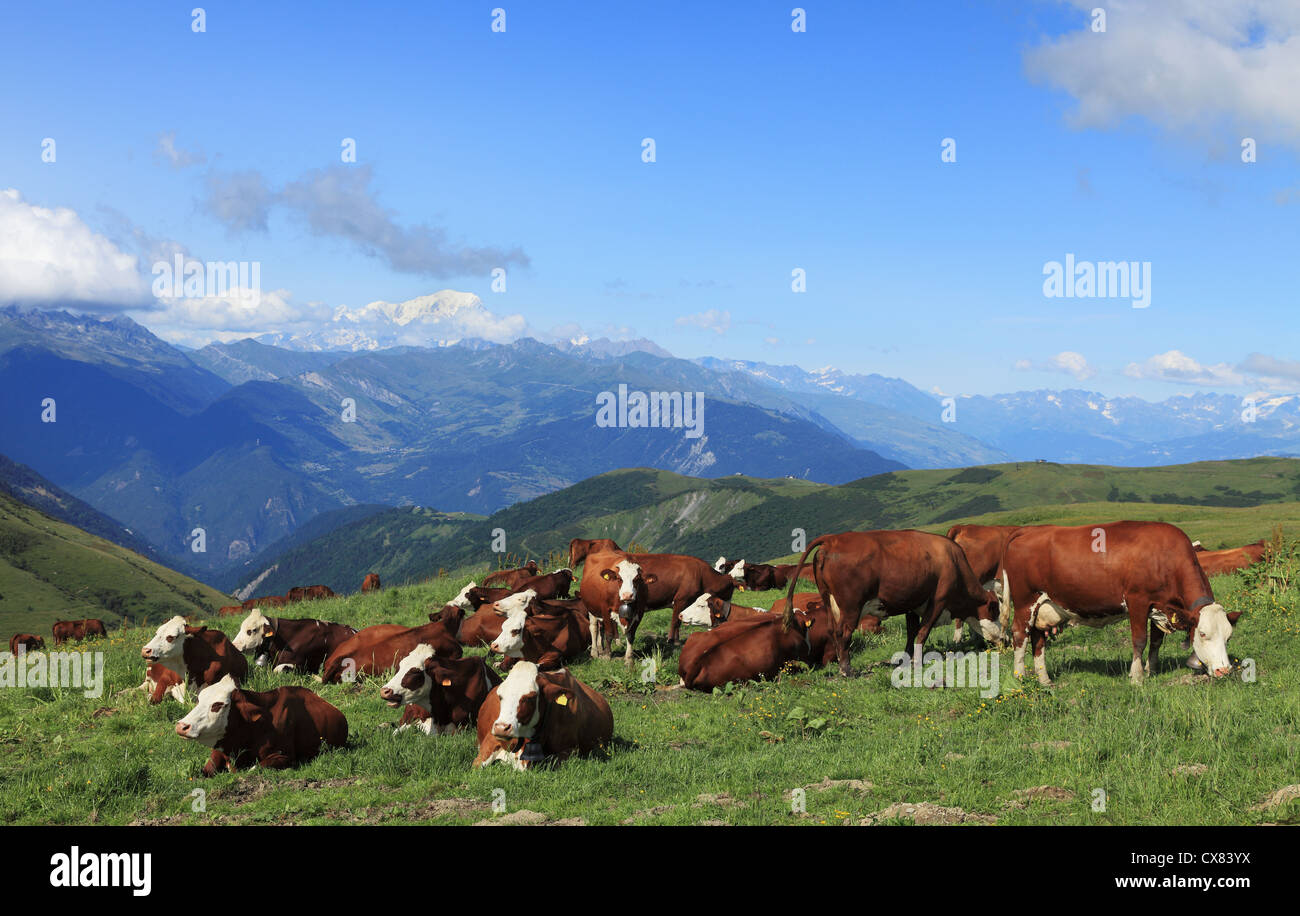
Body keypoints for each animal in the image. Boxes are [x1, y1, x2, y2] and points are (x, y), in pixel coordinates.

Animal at [781, 529, 1001, 677]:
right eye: (995, 611)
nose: (1004, 639)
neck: (953, 561)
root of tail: (832, 539)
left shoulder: (913, 603)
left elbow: (911, 631)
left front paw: (907, 657)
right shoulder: (938, 600)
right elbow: (923, 632)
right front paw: (917, 661)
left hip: (829, 602)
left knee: (831, 630)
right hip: (851, 606)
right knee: (843, 633)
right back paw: (847, 670)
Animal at [996, 521, 1239, 685]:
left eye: (1228, 637)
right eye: (1203, 634)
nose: (1224, 671)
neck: (1164, 557)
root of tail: (1028, 530)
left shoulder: (1160, 607)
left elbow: (1156, 642)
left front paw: (1151, 671)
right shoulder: (1137, 600)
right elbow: (1140, 640)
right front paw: (1137, 677)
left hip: (1044, 606)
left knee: (1038, 639)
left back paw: (1045, 680)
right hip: (1025, 601)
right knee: (1020, 635)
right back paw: (1020, 678)